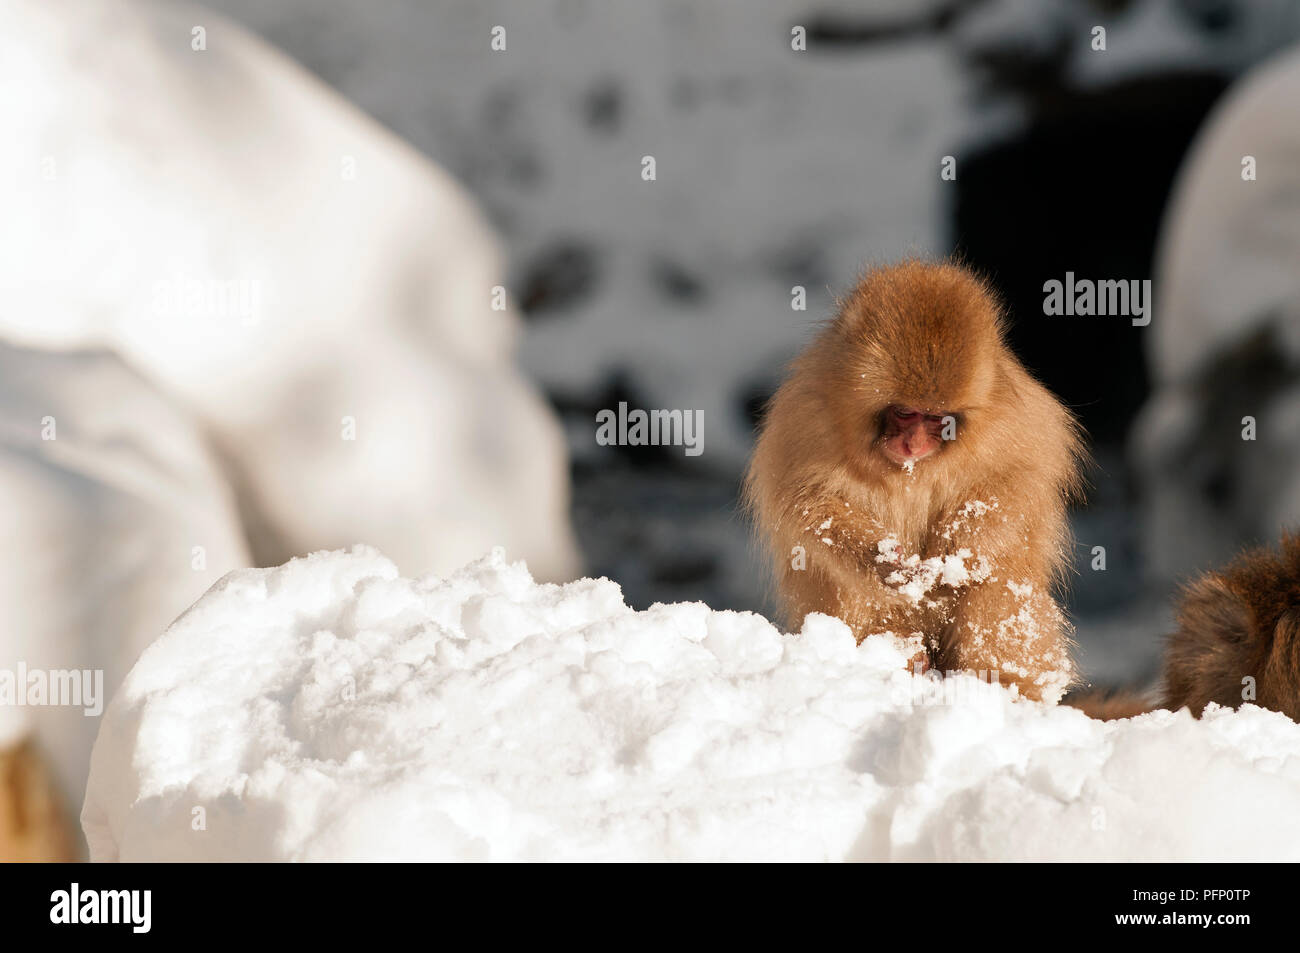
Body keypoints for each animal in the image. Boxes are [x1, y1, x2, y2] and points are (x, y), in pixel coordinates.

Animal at [745, 260, 1086, 703]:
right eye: (905, 413)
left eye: (936, 418)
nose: (913, 443)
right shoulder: (807, 413)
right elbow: (808, 503)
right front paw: (887, 563)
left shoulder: (1009, 419)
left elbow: (1018, 481)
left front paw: (956, 550)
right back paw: (901, 658)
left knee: (999, 577)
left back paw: (1004, 683)